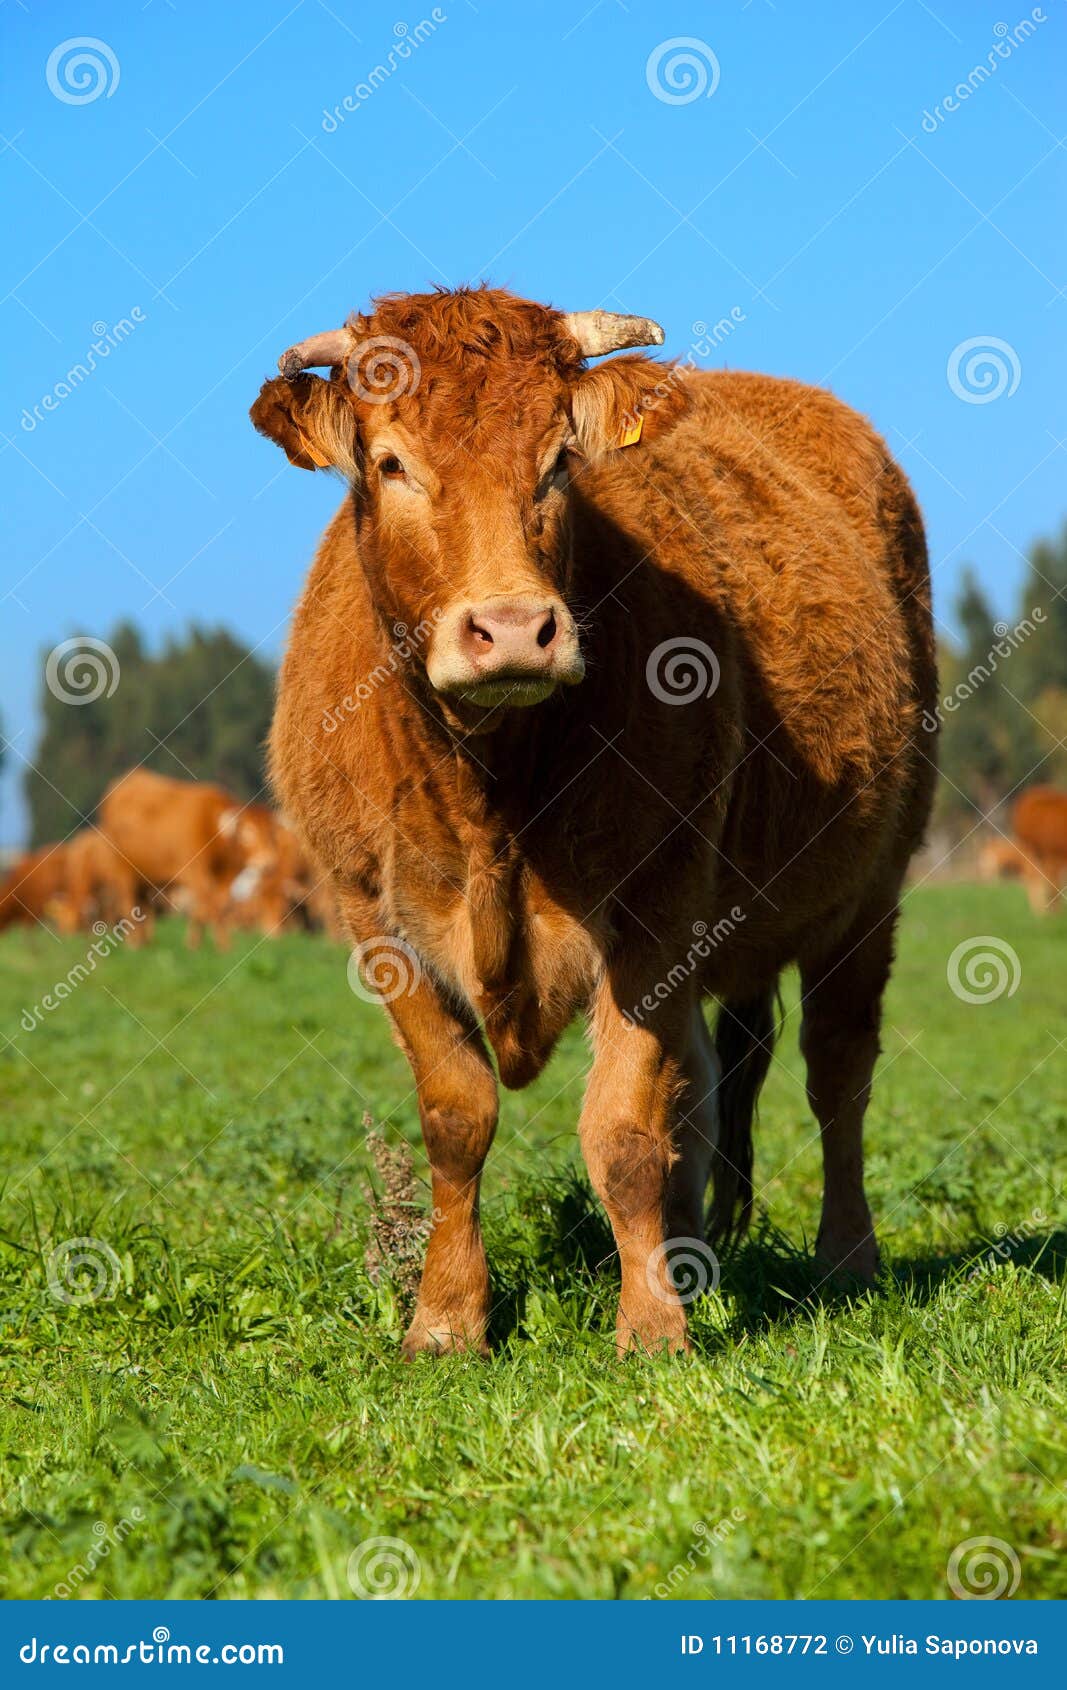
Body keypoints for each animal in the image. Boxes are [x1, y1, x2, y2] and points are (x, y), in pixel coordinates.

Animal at [98, 769, 278, 948]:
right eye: (247, 832)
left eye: (271, 833)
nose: (268, 863)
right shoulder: (195, 872)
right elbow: (211, 905)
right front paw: (223, 946)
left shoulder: (224, 877)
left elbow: (213, 906)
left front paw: (194, 942)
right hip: (121, 871)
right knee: (127, 903)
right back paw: (134, 944)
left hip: (143, 876)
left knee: (142, 906)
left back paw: (145, 941)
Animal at [251, 285, 938, 1359]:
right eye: (391, 463)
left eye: (558, 461)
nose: (512, 630)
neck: (489, 788)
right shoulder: (371, 916)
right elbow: (458, 1114)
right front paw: (446, 1320)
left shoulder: (656, 906)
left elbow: (621, 1129)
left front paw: (651, 1327)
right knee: (702, 1090)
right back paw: (695, 1257)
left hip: (870, 894)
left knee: (837, 1073)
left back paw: (846, 1260)